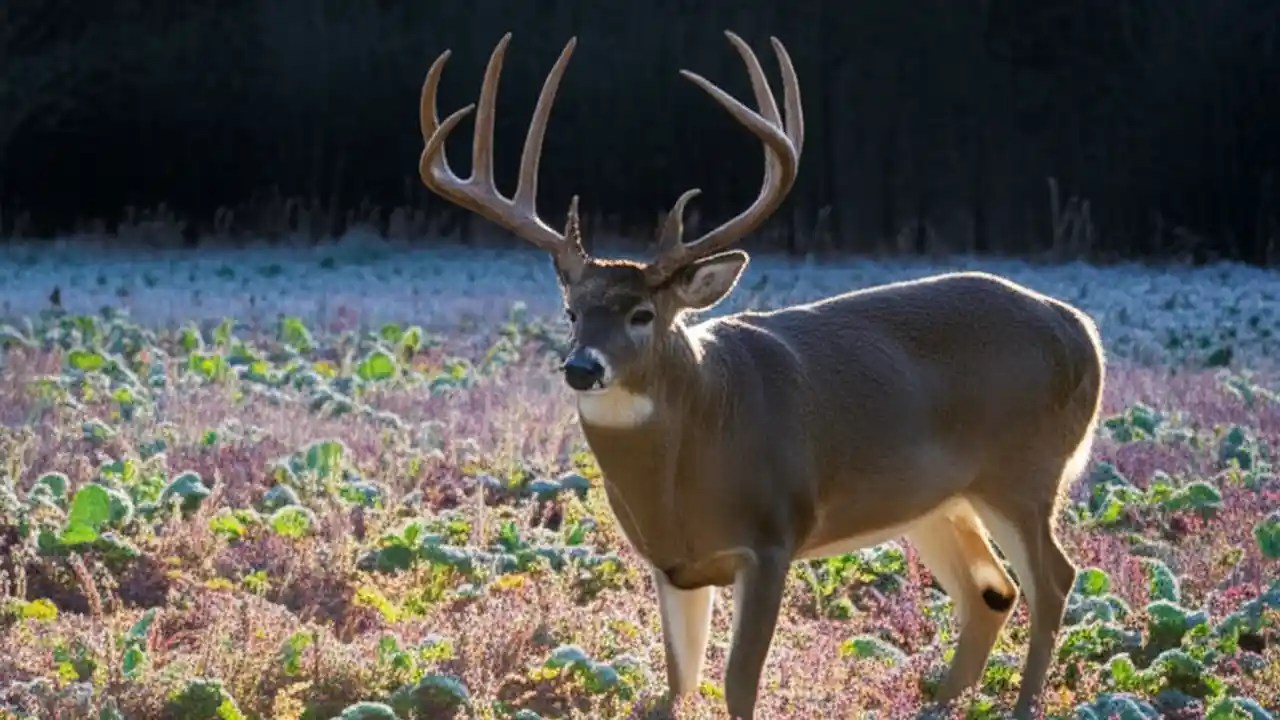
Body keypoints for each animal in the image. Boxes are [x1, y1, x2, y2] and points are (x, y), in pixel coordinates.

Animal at [416, 30, 1106, 720]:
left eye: (642, 314)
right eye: (572, 311)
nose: (582, 367)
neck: (687, 462)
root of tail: (1081, 331)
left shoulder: (774, 535)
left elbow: (738, 684)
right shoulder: (671, 565)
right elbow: (679, 684)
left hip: (1025, 471)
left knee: (1054, 580)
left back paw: (1024, 703)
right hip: (938, 499)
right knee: (992, 591)